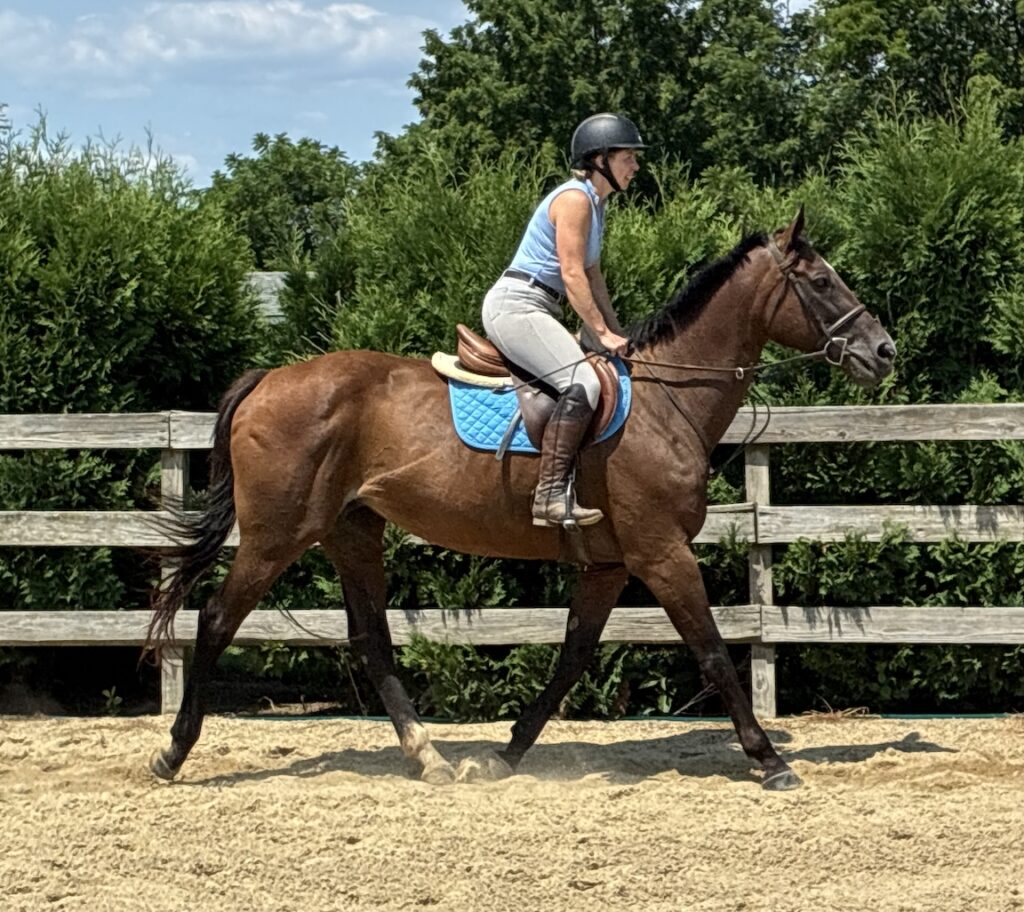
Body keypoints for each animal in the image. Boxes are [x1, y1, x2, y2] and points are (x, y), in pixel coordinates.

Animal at [147, 208, 896, 791]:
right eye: (821, 281)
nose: (884, 351)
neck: (667, 402)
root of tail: (270, 378)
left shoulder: (609, 564)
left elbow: (571, 657)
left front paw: (507, 753)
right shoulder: (660, 553)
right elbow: (712, 651)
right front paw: (769, 760)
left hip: (351, 530)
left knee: (371, 640)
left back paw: (431, 759)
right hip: (276, 535)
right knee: (216, 620)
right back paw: (173, 752)